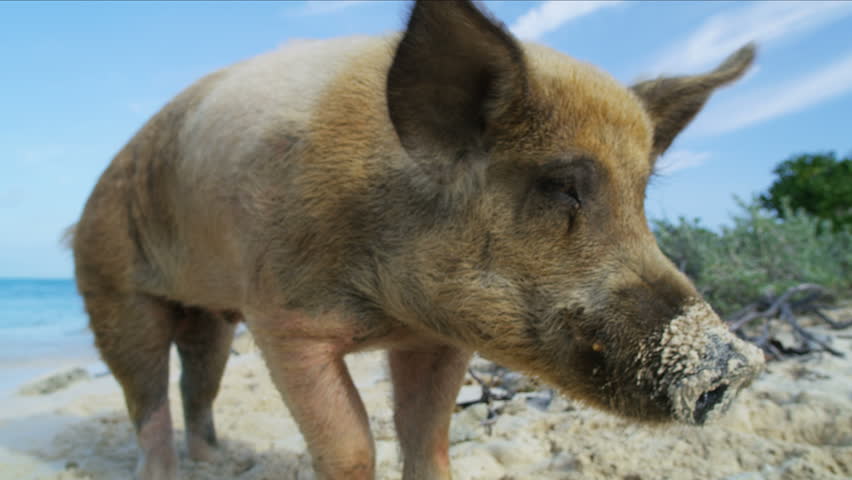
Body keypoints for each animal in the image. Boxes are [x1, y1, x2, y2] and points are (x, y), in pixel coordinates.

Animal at [71, 1, 764, 479]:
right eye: (562, 185)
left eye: (641, 195)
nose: (738, 364)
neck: (388, 312)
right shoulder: (283, 319)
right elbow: (351, 444)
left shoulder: (442, 337)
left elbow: (427, 436)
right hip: (109, 281)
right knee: (146, 392)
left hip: (210, 313)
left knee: (199, 379)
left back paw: (216, 462)